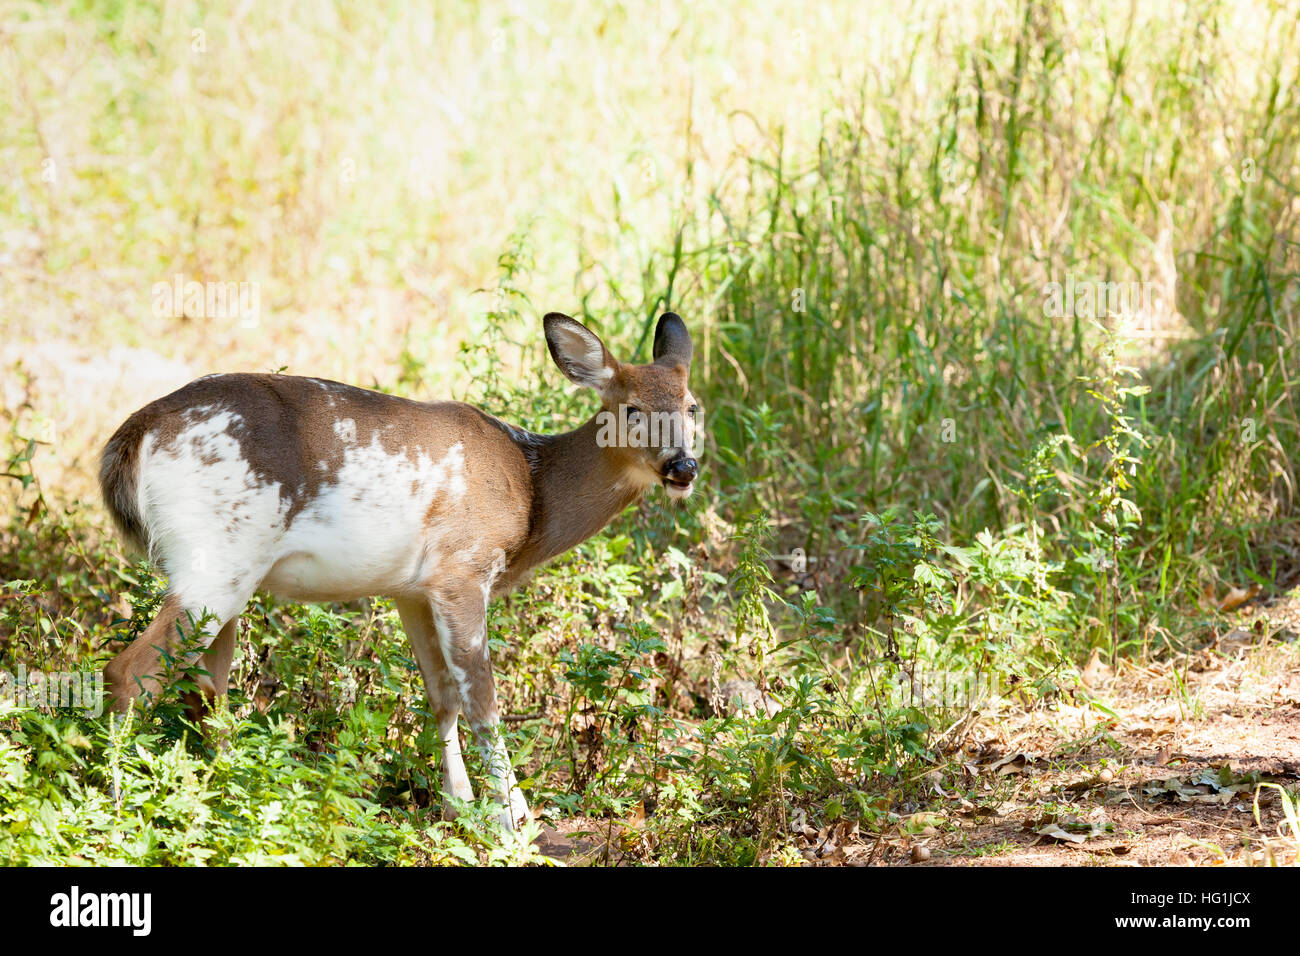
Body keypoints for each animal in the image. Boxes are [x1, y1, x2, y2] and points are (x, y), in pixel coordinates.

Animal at [99, 312, 699, 829]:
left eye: (692, 407)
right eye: (632, 409)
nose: (683, 466)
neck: (531, 491)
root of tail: (132, 436)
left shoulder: (412, 588)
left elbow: (442, 694)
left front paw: (460, 806)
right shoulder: (464, 566)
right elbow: (483, 699)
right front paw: (511, 820)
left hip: (221, 570)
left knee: (206, 687)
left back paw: (222, 792)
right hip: (217, 553)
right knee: (130, 672)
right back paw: (120, 809)